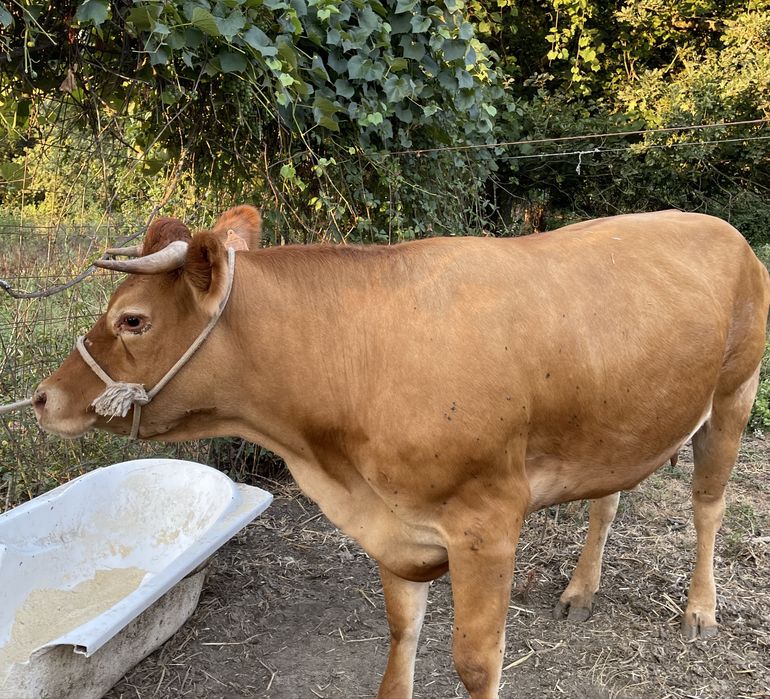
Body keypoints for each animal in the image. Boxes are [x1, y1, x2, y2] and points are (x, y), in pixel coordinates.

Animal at [33, 207, 769, 699]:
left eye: (133, 320)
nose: (43, 398)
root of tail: (721, 227)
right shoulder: (394, 527)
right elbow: (400, 636)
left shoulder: (487, 522)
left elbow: (476, 662)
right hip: (620, 417)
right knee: (608, 498)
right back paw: (580, 590)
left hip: (735, 393)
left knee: (708, 505)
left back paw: (700, 610)